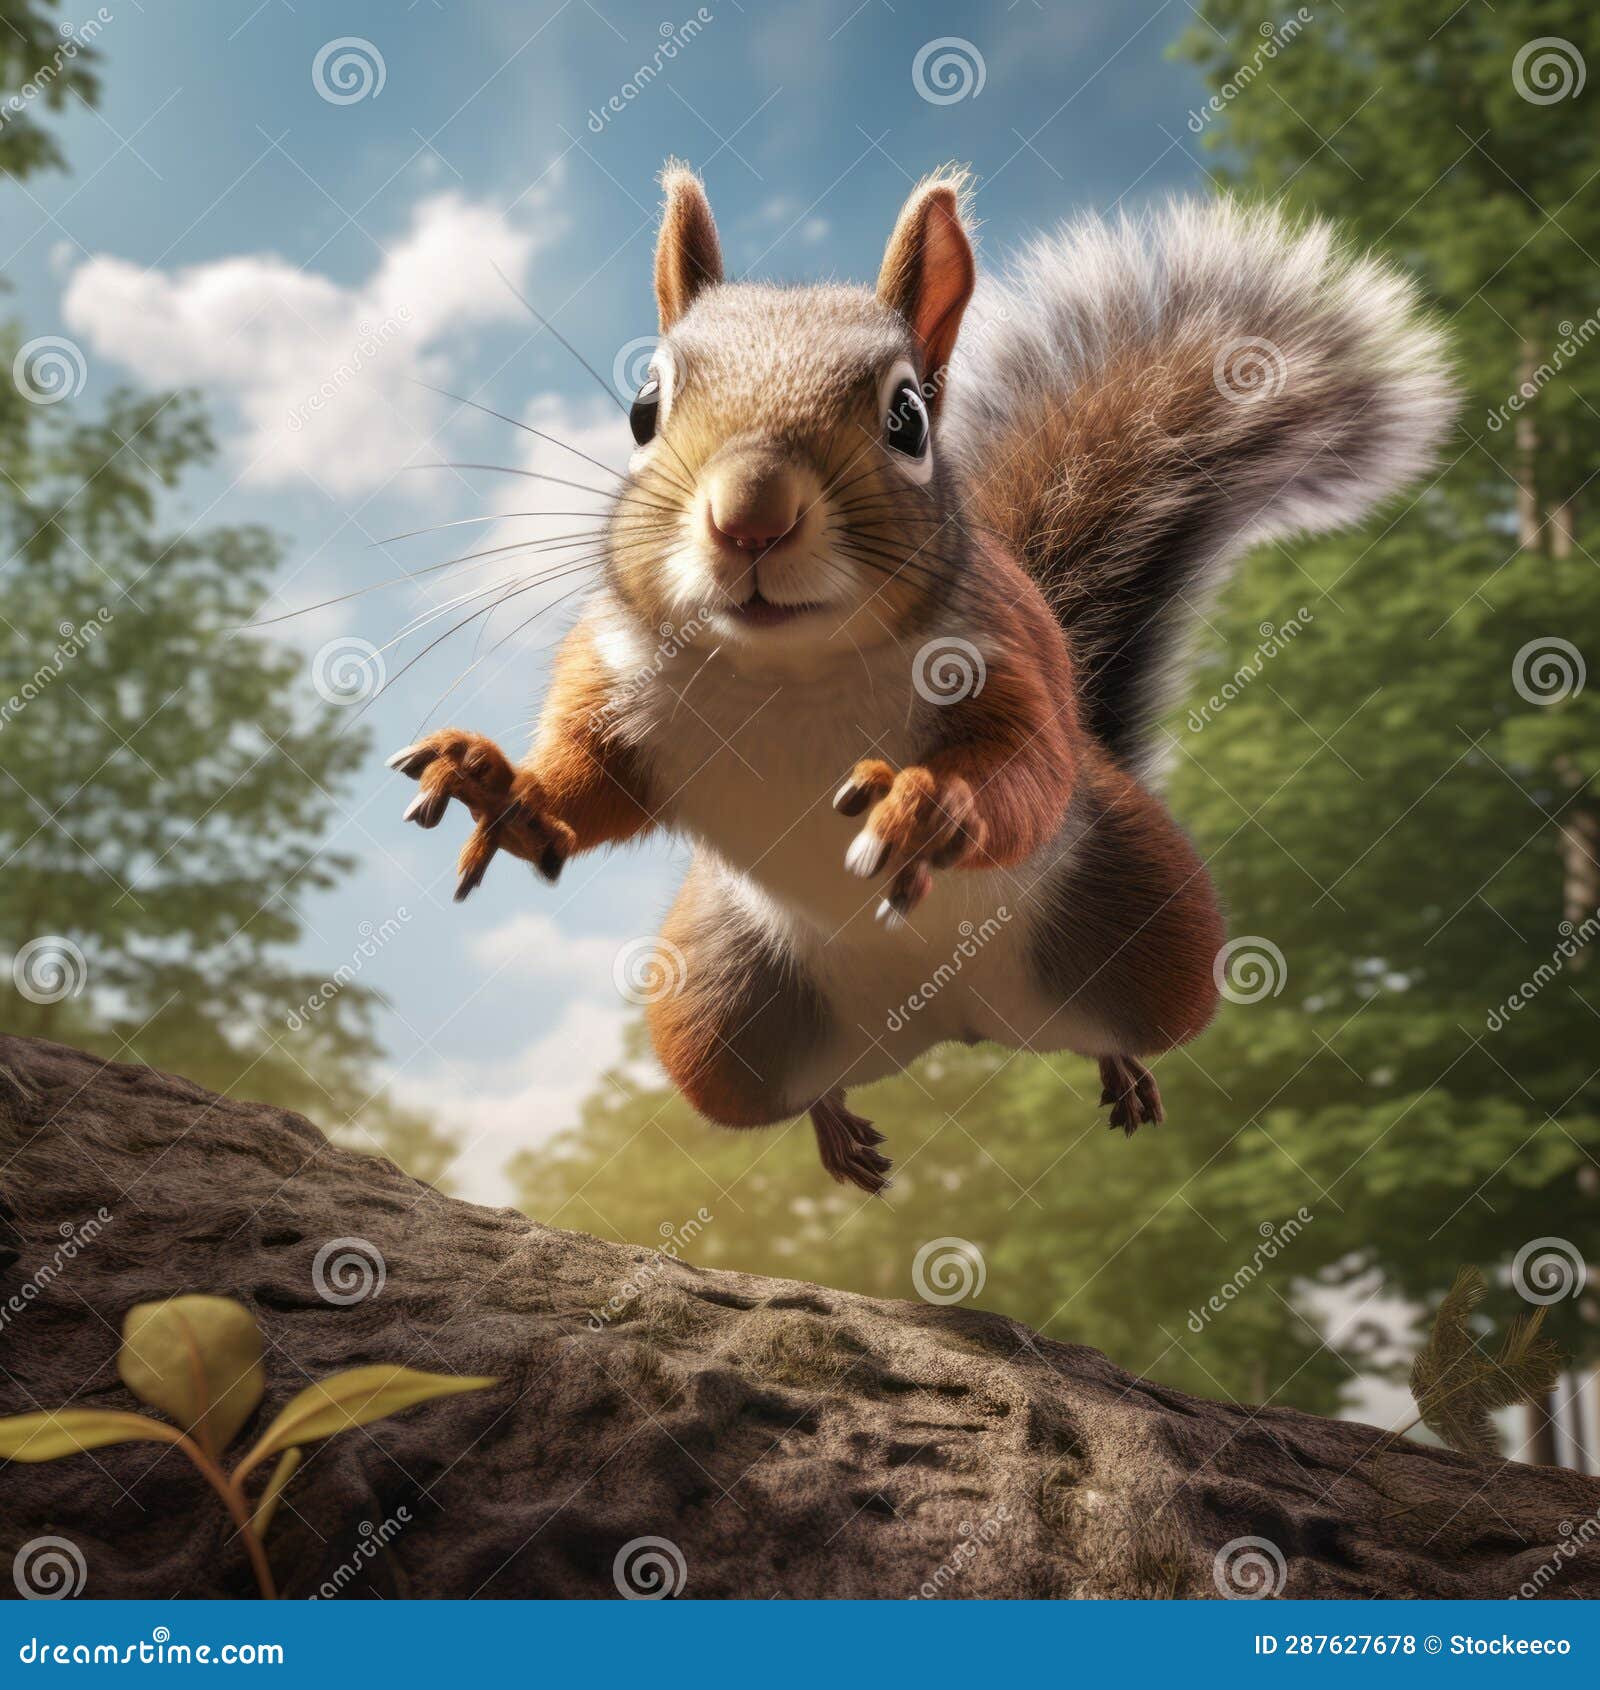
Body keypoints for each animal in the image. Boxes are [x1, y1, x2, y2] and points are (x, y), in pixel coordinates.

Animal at [389, 164, 1453, 1195]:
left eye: (906, 418)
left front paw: (928, 806)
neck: (790, 671)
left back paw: (1123, 1068)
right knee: (786, 1082)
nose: (751, 517)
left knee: (1128, 1013)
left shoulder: (1009, 664)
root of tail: (952, 1026)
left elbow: (1026, 773)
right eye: (643, 408)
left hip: (1154, 929)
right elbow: (594, 787)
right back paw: (834, 1121)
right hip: (718, 1013)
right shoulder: (616, 681)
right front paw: (499, 785)